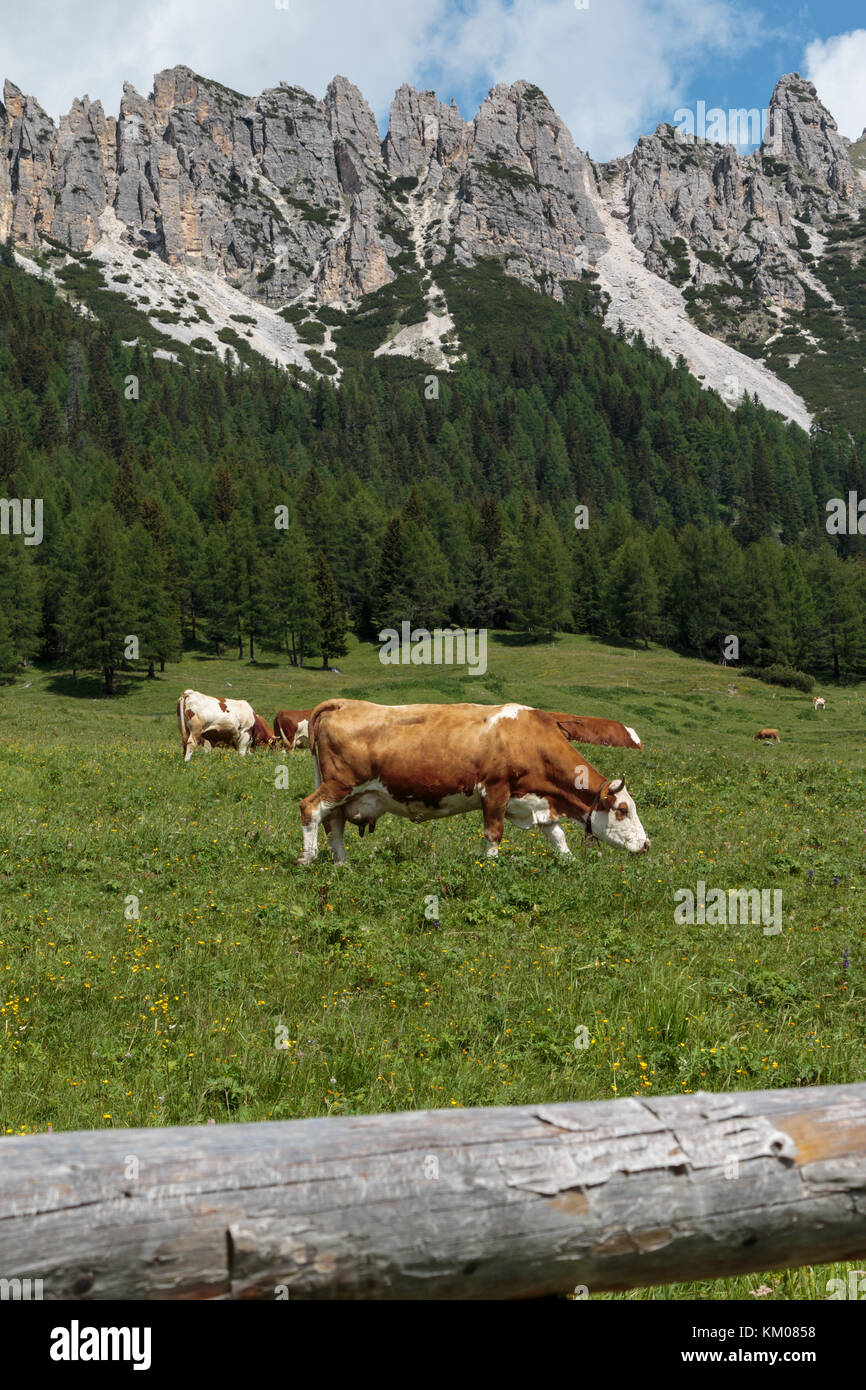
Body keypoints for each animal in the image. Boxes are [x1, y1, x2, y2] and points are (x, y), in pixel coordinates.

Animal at [296, 699, 650, 866]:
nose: (646, 845)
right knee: (310, 809)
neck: (528, 738)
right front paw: (490, 868)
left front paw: (570, 864)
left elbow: (557, 836)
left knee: (333, 822)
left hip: (345, 792)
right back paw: (309, 858)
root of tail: (343, 703)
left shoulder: (539, 802)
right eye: (622, 810)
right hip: (340, 784)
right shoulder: (495, 790)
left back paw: (342, 864)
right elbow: (494, 834)